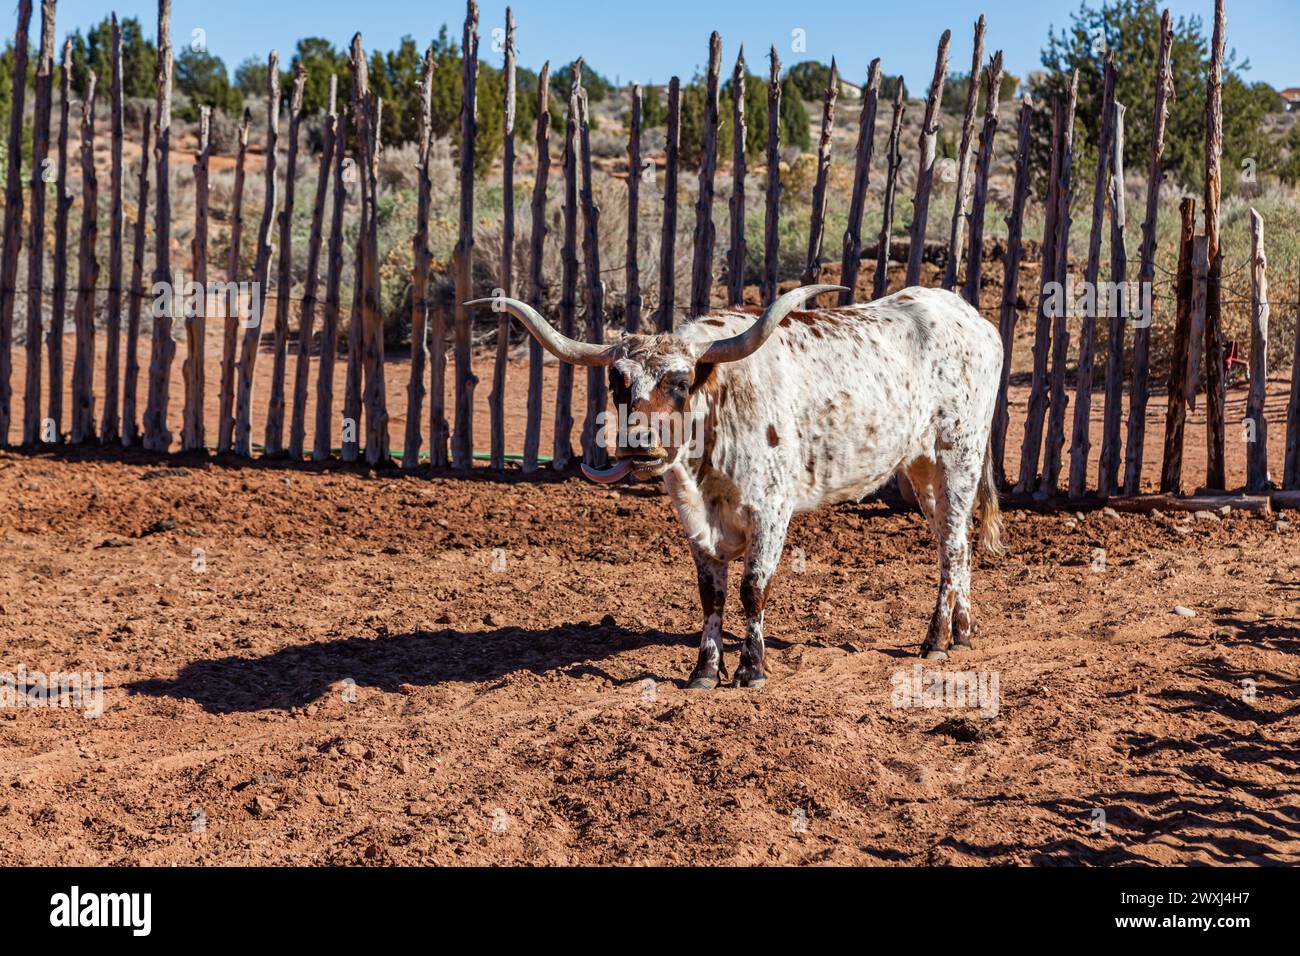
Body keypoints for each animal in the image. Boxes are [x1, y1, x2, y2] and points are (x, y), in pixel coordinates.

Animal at [467, 284, 1005, 689]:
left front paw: (751, 668)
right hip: (921, 470)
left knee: (953, 548)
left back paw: (936, 641)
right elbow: (712, 595)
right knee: (955, 543)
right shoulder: (695, 520)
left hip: (958, 457)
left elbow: (752, 589)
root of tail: (970, 316)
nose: (639, 447)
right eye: (618, 382)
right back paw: (963, 632)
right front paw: (705, 670)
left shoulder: (771, 511)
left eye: (679, 383)